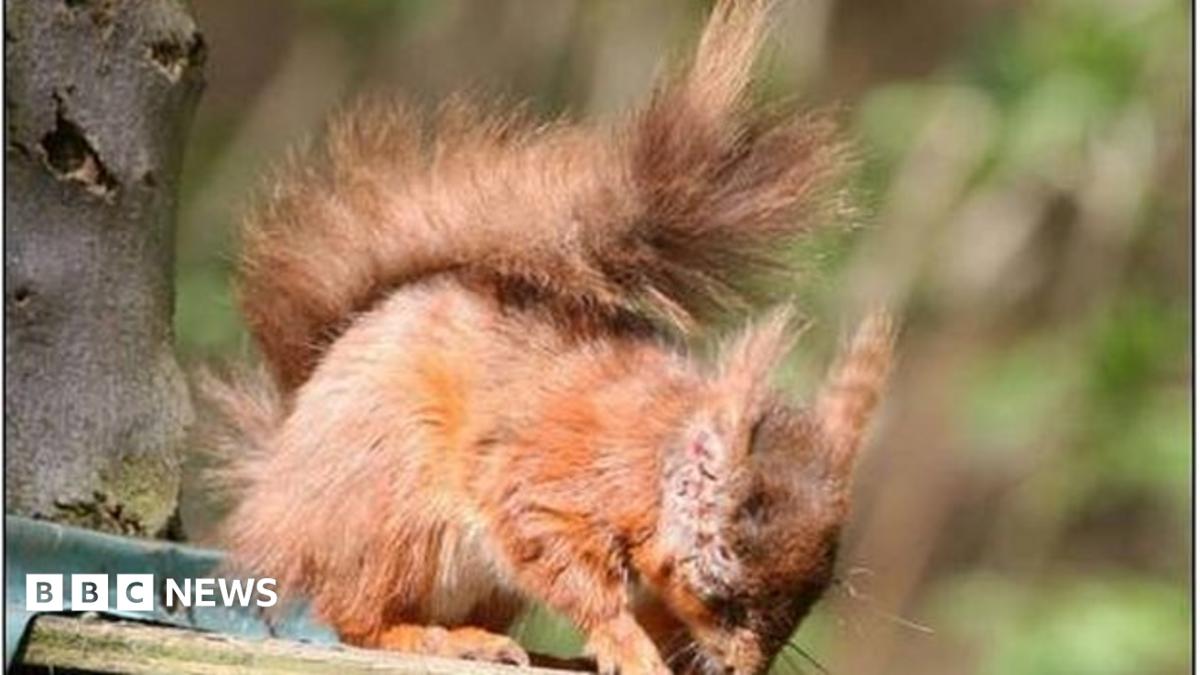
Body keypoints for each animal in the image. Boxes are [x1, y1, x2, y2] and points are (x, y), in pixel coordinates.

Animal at [201, 1, 895, 674]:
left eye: (819, 587)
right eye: (720, 555)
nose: (743, 668)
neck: (648, 457)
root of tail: (279, 489)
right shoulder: (547, 483)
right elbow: (564, 561)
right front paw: (631, 649)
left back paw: (528, 649)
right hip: (392, 513)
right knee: (355, 615)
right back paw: (438, 639)